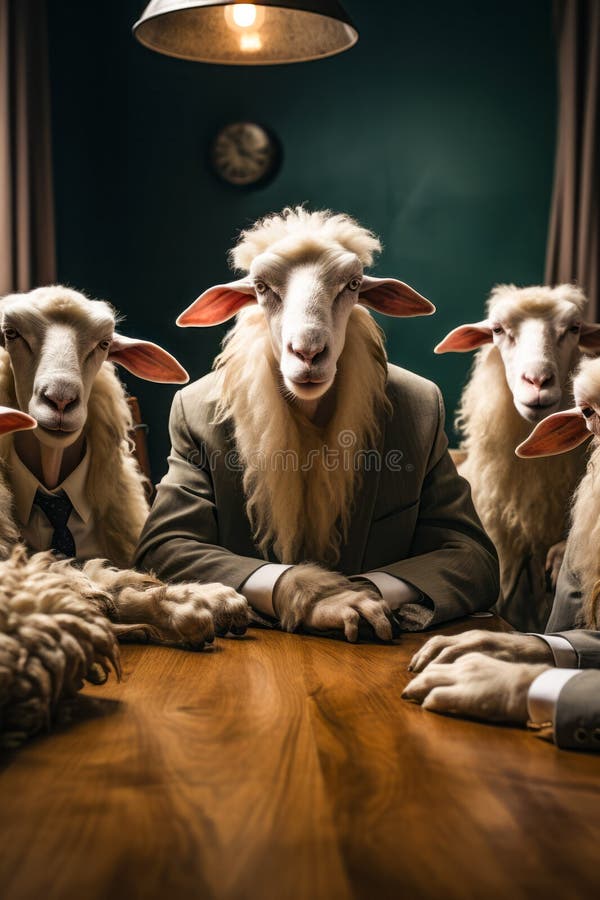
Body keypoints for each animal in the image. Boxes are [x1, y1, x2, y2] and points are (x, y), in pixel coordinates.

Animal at [136, 207, 500, 641]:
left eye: (354, 284)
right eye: (261, 287)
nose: (308, 352)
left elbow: (466, 547)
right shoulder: (171, 517)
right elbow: (172, 538)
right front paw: (322, 595)